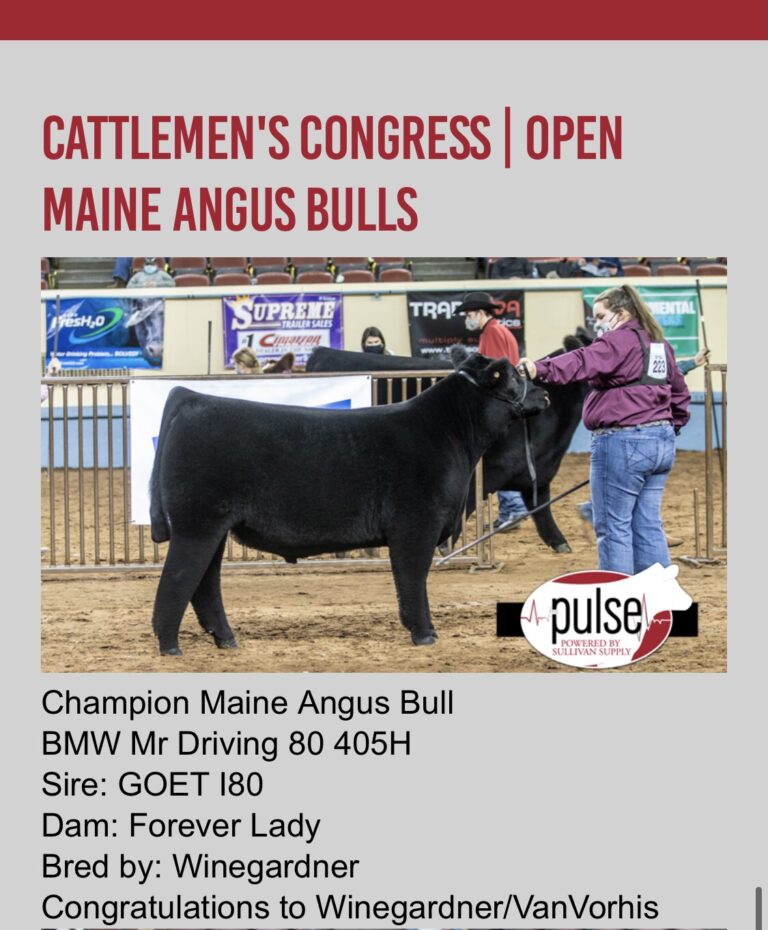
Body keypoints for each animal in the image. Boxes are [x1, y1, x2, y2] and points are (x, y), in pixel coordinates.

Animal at [148, 350, 548, 655]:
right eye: (514, 377)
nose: (544, 395)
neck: (448, 433)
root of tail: (192, 397)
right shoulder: (416, 524)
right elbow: (413, 578)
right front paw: (424, 634)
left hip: (213, 528)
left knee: (204, 583)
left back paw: (226, 639)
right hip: (197, 525)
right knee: (179, 580)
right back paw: (170, 645)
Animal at [306, 328, 593, 553]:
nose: (544, 396)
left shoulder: (538, 471)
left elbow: (541, 507)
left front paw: (560, 542)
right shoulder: (482, 471)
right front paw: (446, 547)